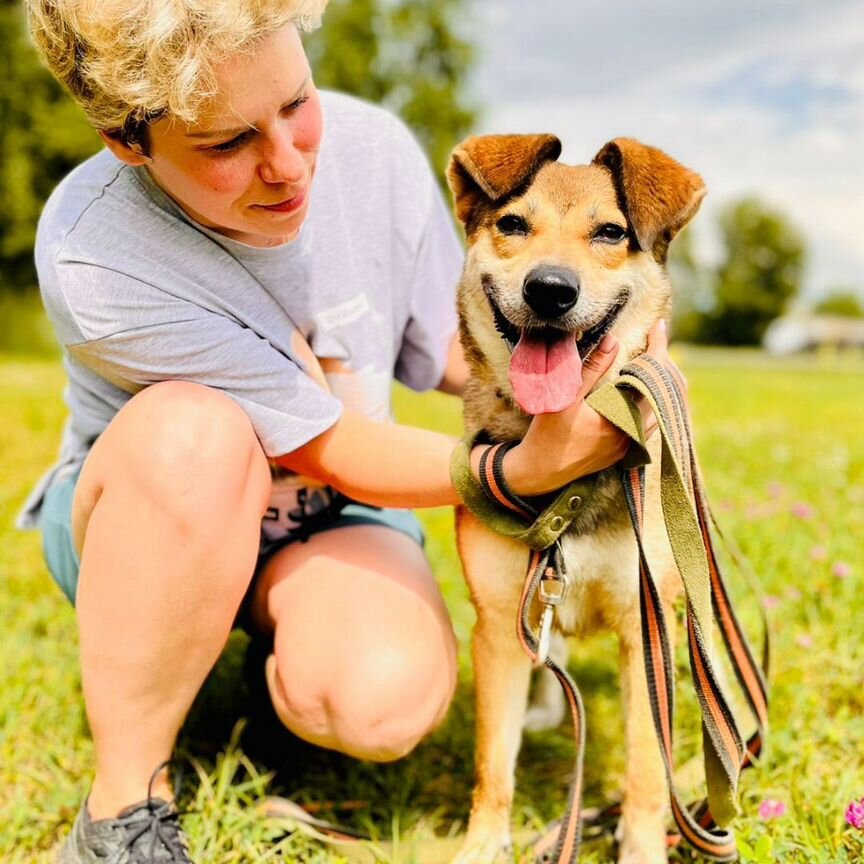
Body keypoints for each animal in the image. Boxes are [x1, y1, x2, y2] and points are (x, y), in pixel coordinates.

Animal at [448, 135, 704, 864]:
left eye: (610, 233)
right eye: (512, 225)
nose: (550, 290)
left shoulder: (646, 627)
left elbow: (647, 770)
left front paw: (641, 848)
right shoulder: (498, 624)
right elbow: (493, 766)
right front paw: (482, 847)